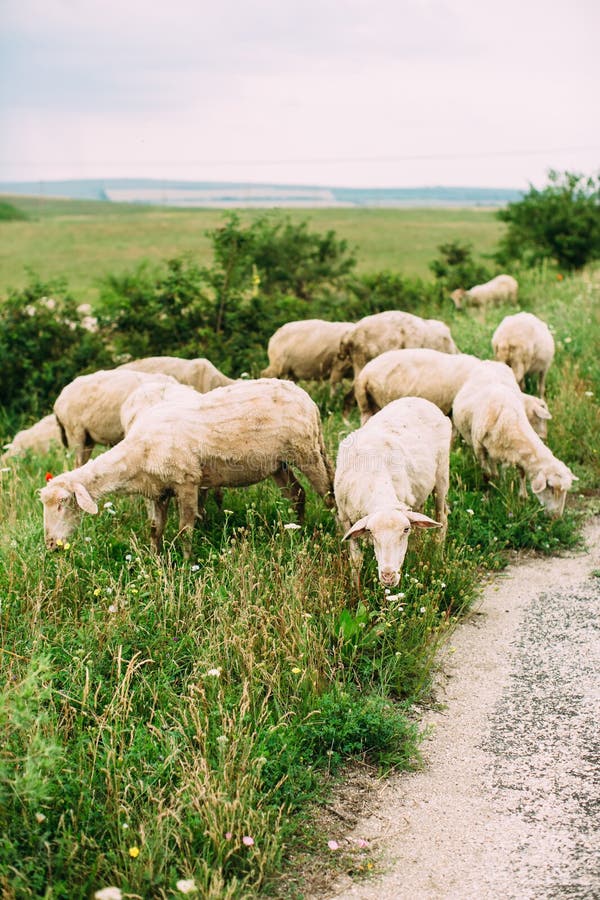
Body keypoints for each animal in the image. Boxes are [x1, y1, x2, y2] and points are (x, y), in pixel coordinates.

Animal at [41, 379, 335, 557]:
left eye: (63, 503)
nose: (51, 545)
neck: (139, 453)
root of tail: (306, 398)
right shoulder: (158, 491)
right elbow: (154, 529)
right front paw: (156, 560)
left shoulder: (188, 482)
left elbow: (185, 530)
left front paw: (186, 562)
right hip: (278, 463)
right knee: (298, 495)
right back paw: (298, 532)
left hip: (306, 451)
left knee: (328, 495)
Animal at [334, 397, 451, 587]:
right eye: (370, 531)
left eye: (405, 529)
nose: (388, 575)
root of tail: (418, 399)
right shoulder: (345, 518)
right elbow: (356, 560)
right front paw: (356, 590)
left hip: (442, 474)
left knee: (442, 517)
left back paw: (437, 557)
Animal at [452, 379, 576, 516]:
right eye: (551, 488)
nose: (556, 517)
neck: (509, 419)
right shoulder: (479, 447)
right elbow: (486, 474)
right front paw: (488, 492)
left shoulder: (517, 453)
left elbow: (521, 473)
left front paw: (523, 496)